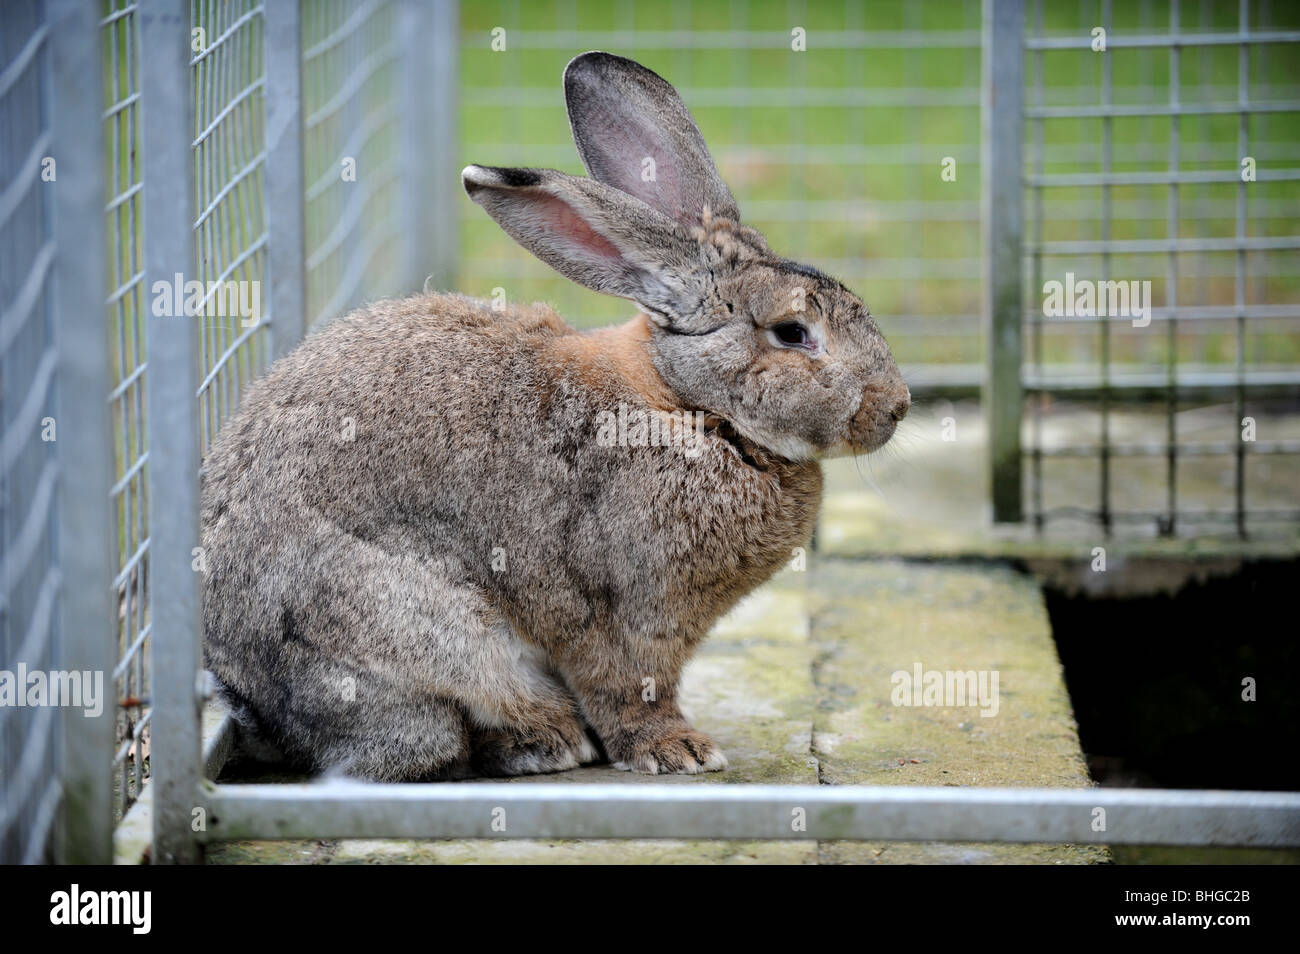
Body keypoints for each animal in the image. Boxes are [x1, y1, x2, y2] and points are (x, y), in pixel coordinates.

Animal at [201, 51, 910, 781]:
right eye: (793, 333)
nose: (897, 407)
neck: (693, 406)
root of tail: (257, 705)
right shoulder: (618, 616)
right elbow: (626, 686)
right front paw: (676, 750)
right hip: (418, 634)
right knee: (430, 740)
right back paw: (547, 739)